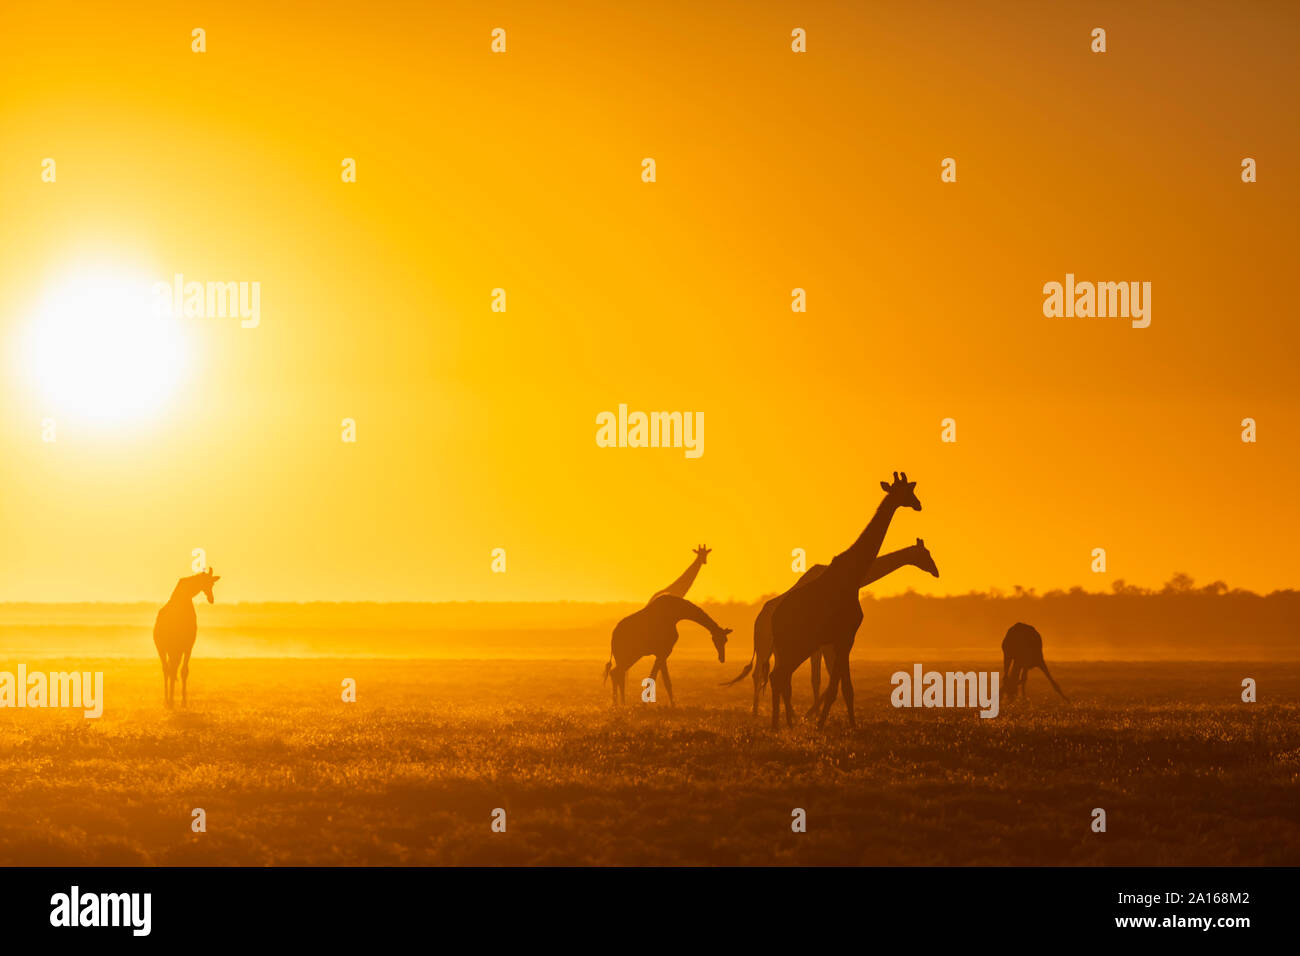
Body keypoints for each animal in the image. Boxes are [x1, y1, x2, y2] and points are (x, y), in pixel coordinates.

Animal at [152, 568, 219, 707]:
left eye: (212, 583)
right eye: (206, 582)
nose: (211, 599)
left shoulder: (183, 647)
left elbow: (180, 670)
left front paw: (179, 701)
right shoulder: (184, 646)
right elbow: (179, 671)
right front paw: (178, 701)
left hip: (168, 649)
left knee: (169, 669)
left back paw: (169, 700)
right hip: (168, 648)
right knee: (169, 669)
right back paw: (169, 700)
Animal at [602, 594, 732, 706]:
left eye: (726, 640)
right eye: (718, 640)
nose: (722, 658)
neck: (677, 615)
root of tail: (613, 637)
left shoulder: (662, 653)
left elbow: (663, 680)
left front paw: (670, 705)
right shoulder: (663, 652)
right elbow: (659, 679)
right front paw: (650, 705)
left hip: (627, 656)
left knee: (617, 673)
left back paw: (620, 704)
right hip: (629, 655)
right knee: (617, 673)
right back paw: (618, 704)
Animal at [726, 539, 940, 715]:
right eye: (926, 554)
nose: (936, 571)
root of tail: (758, 620)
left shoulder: (822, 644)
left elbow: (820, 677)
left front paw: (813, 713)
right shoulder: (823, 644)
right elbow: (820, 677)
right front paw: (812, 713)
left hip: (777, 649)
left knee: (775, 673)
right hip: (765, 646)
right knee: (758, 674)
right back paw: (756, 712)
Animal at [769, 472, 921, 730]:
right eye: (907, 491)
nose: (919, 504)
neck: (853, 575)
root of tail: (773, 620)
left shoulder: (843, 639)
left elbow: (845, 687)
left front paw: (850, 724)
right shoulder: (845, 636)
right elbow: (837, 687)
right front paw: (822, 725)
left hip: (795, 647)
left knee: (778, 676)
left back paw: (781, 724)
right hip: (798, 645)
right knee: (779, 676)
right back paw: (783, 724)